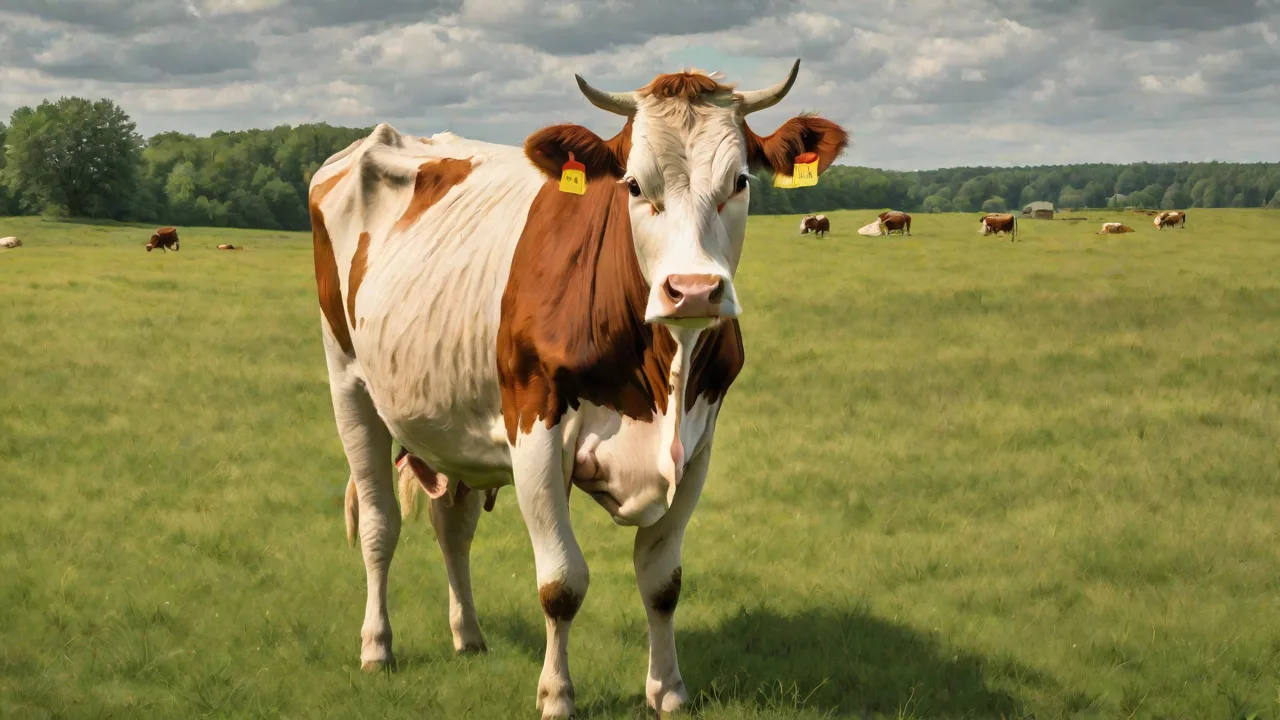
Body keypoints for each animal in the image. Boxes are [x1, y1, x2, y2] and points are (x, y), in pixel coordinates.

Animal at [309, 60, 848, 719]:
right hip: (349, 383)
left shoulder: (699, 443)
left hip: (451, 421)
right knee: (379, 523)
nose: (693, 290)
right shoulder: (535, 428)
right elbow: (561, 583)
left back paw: (468, 636)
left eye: (740, 181)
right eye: (634, 186)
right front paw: (557, 694)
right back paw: (377, 646)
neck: (660, 376)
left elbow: (662, 581)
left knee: (451, 526)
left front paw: (668, 689)